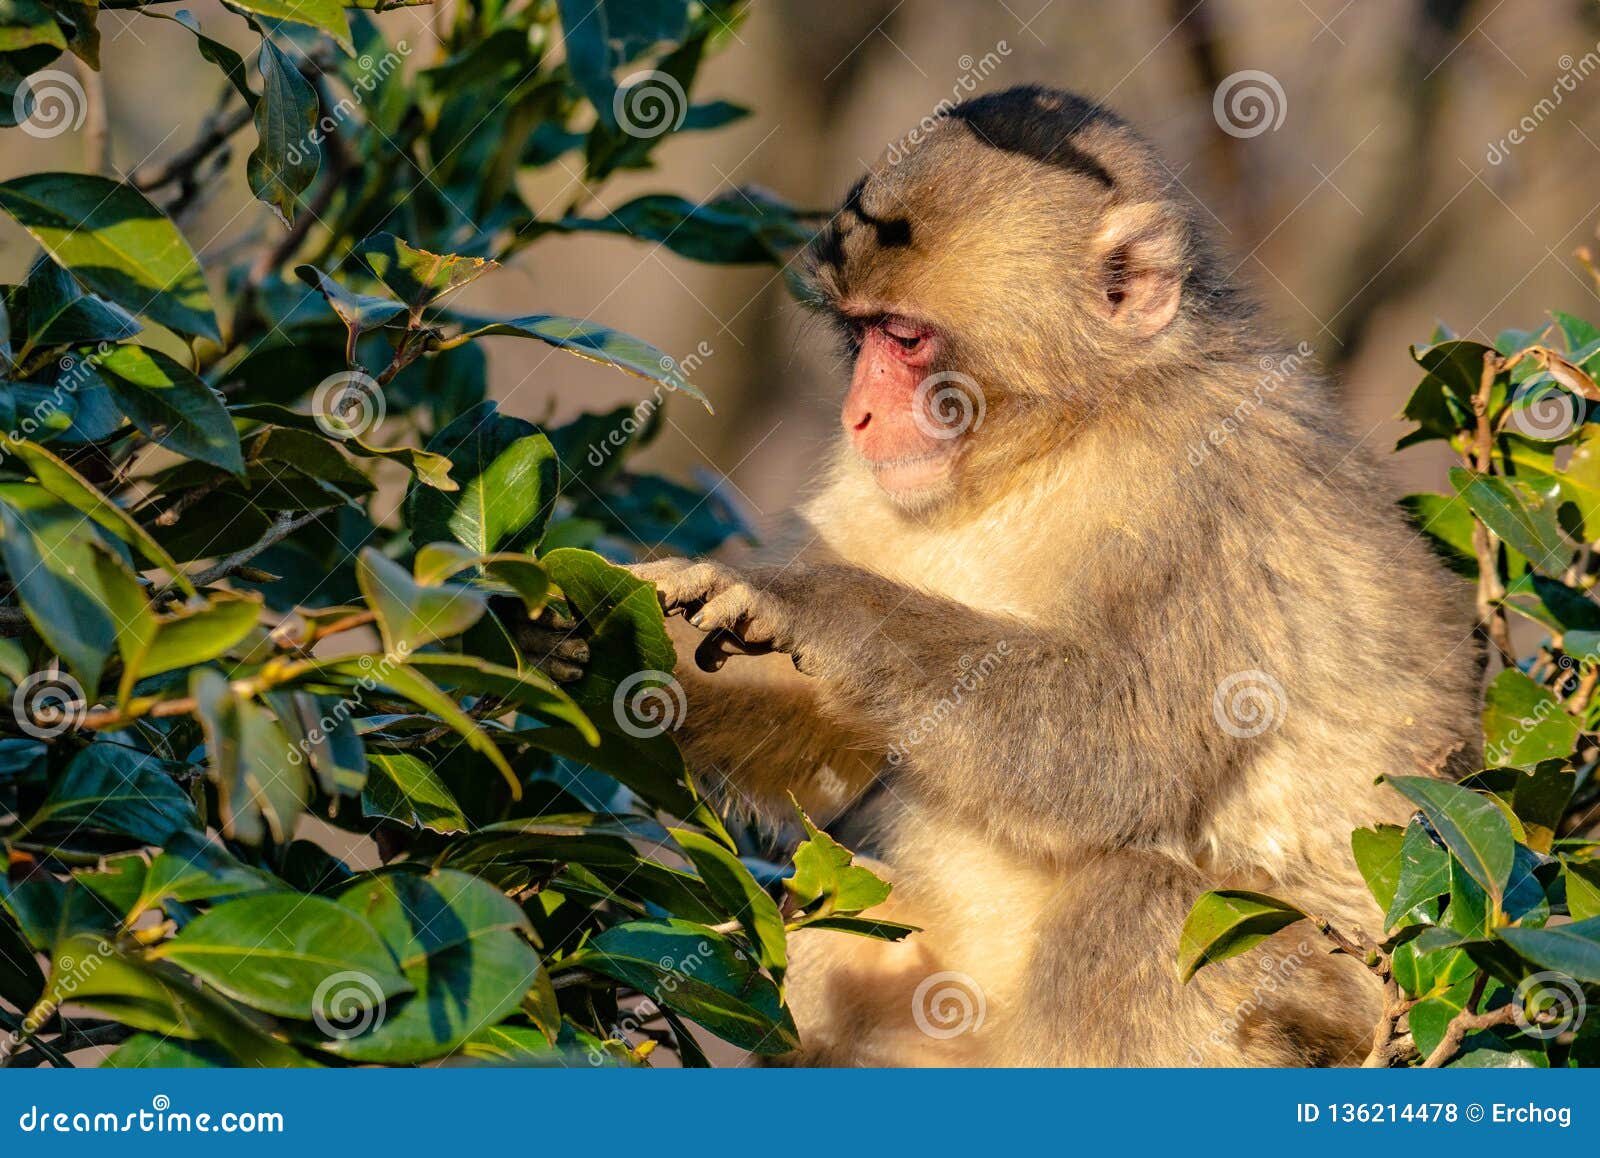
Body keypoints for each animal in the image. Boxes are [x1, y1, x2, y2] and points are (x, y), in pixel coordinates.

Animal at [628, 85, 1481, 1067]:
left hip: (1337, 995)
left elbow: (1127, 748)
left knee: (1135, 911)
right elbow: (829, 756)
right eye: (859, 333)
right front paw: (592, 644)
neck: (1066, 432)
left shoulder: (1202, 500)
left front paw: (815, 606)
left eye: (907, 339)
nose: (858, 415)